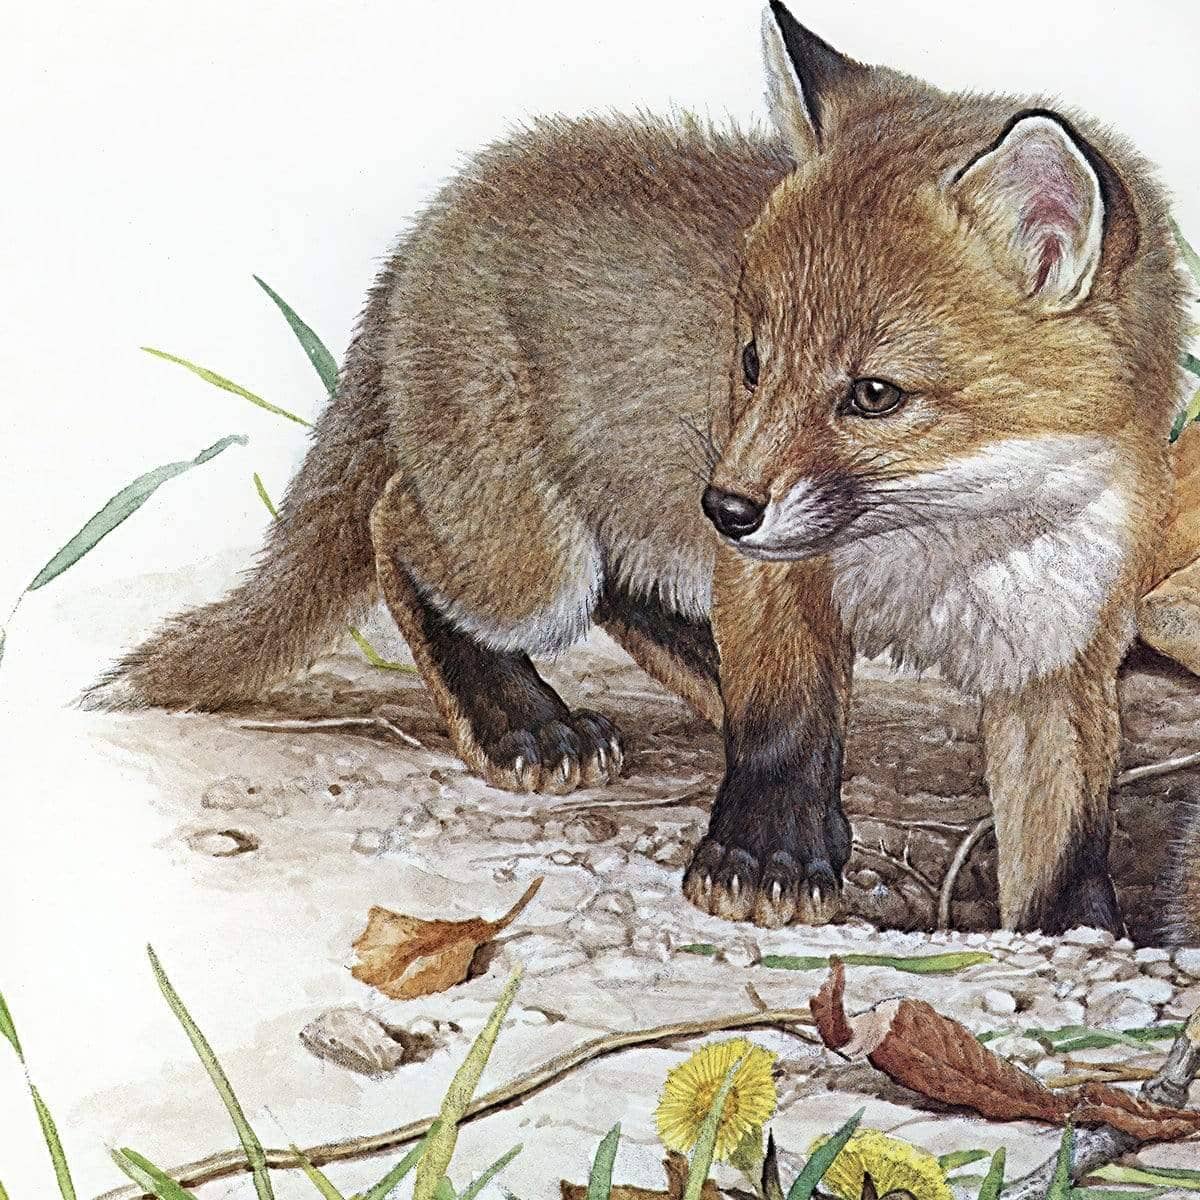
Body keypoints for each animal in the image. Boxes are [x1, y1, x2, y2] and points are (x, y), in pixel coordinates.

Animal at [88, 3, 1200, 940]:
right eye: (751, 361)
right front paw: (764, 856)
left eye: (874, 394)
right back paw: (521, 722)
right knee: (398, 520)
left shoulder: (1058, 651)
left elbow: (1067, 832)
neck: (948, 547)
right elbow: (785, 727)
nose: (727, 503)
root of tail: (432, 227)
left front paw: (1079, 928)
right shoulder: (771, 579)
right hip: (530, 565)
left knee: (621, 589)